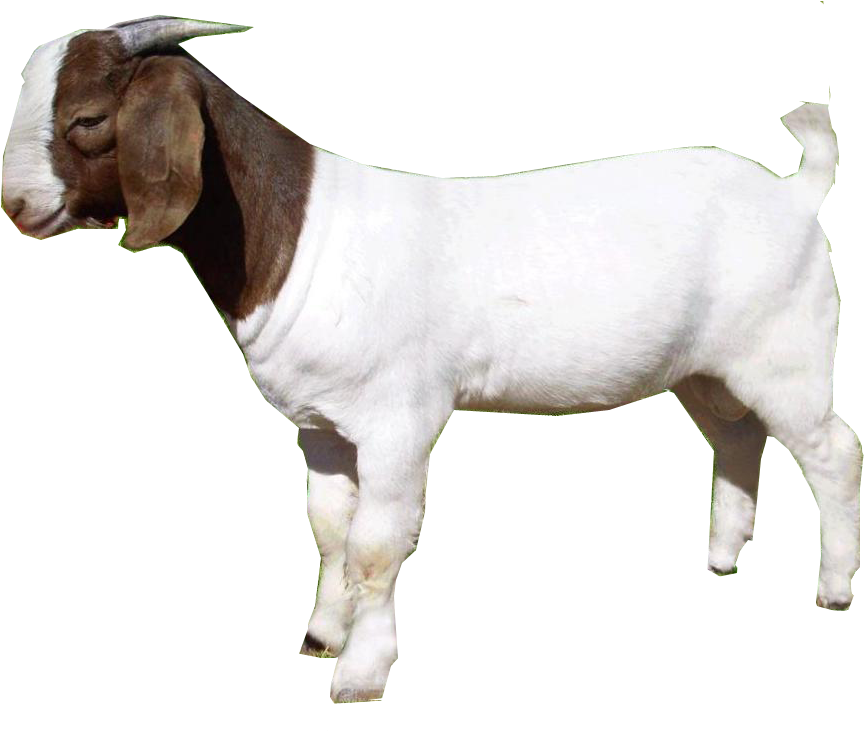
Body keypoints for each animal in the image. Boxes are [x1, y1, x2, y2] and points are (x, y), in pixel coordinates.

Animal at [2, 16, 858, 702]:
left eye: (87, 118)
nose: (14, 206)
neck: (299, 233)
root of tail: (796, 192)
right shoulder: (321, 427)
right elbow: (329, 530)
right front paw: (321, 635)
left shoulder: (398, 420)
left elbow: (378, 544)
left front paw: (361, 673)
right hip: (707, 369)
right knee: (737, 437)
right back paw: (722, 559)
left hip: (786, 352)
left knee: (834, 451)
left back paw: (836, 588)